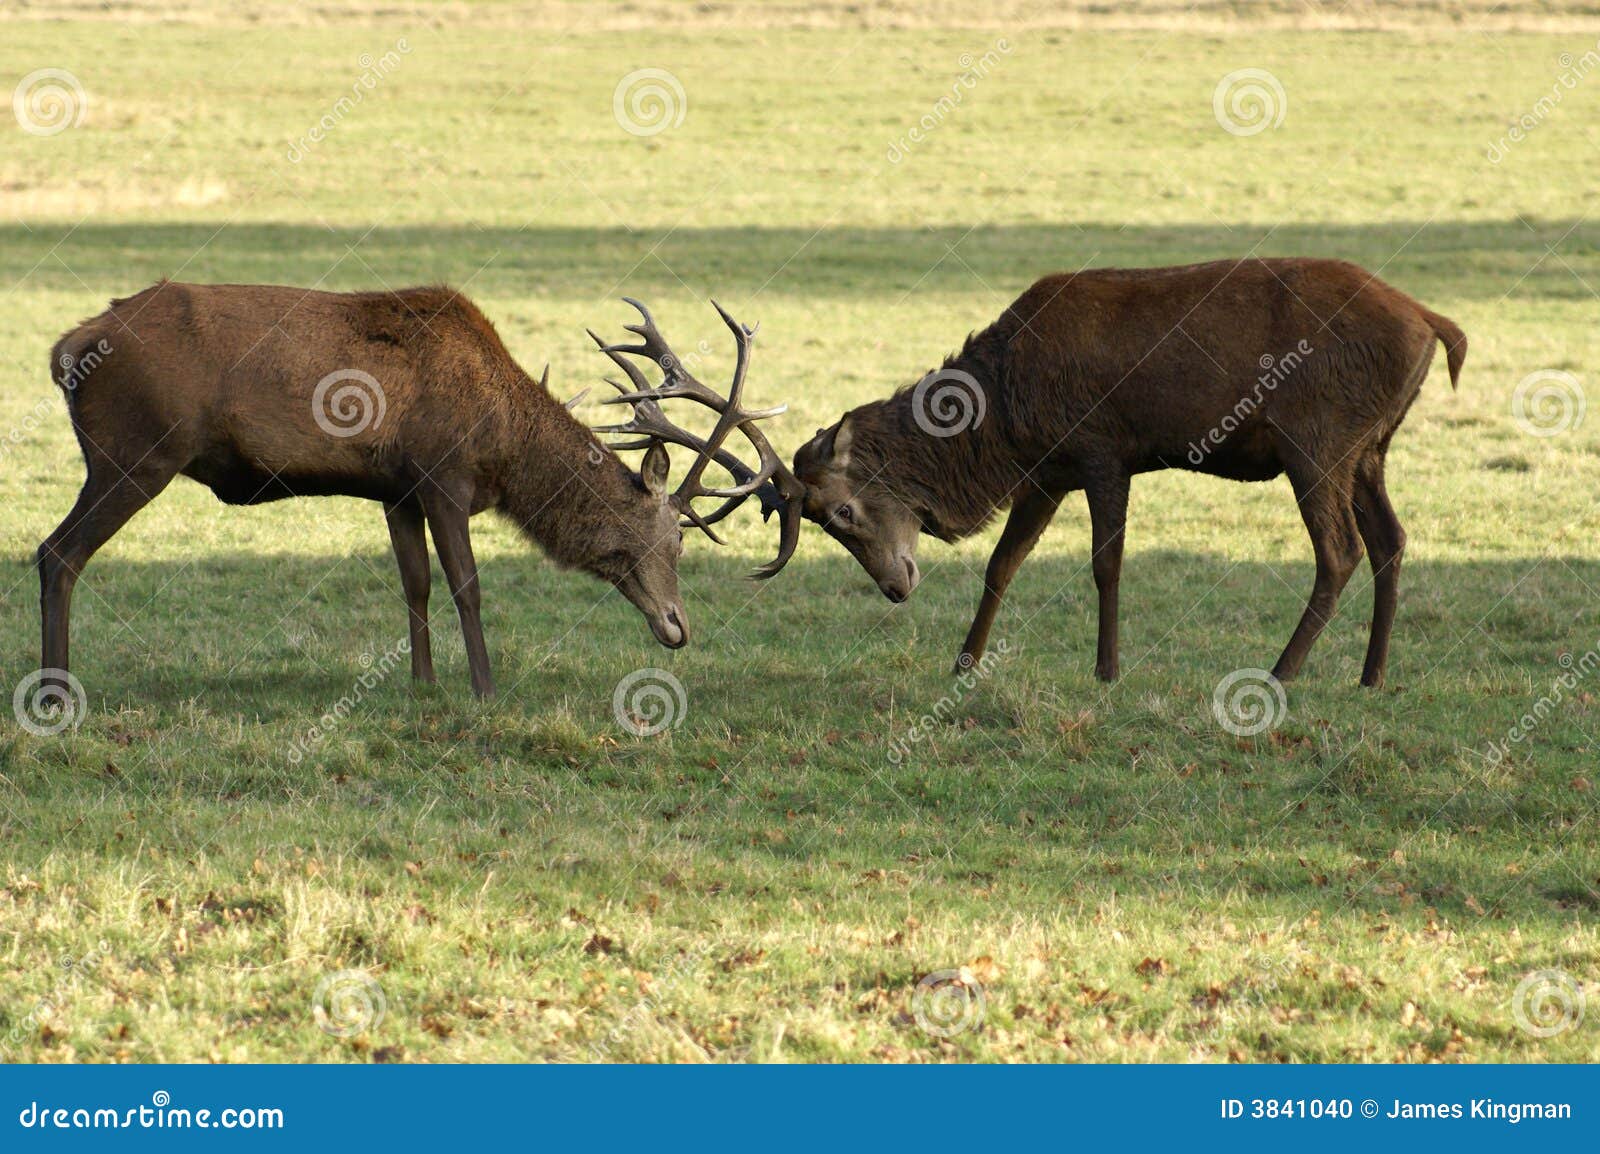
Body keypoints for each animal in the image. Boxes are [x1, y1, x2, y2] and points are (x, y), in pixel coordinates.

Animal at [38, 283, 797, 699]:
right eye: (673, 540)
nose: (678, 627)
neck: (503, 443)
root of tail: (66, 348)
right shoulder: (442, 476)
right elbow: (467, 584)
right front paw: (485, 689)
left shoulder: (395, 490)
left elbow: (415, 584)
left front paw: (423, 685)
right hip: (133, 455)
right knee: (56, 553)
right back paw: (54, 693)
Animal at [774, 258, 1466, 690]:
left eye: (844, 511)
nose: (895, 588)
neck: (1004, 418)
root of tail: (1434, 323)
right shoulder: (1048, 471)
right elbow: (1003, 562)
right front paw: (963, 665)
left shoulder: (1102, 449)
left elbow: (1106, 563)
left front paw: (1107, 670)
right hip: (1369, 449)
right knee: (1391, 540)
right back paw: (1371, 676)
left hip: (1316, 440)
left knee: (1341, 550)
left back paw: (1280, 672)